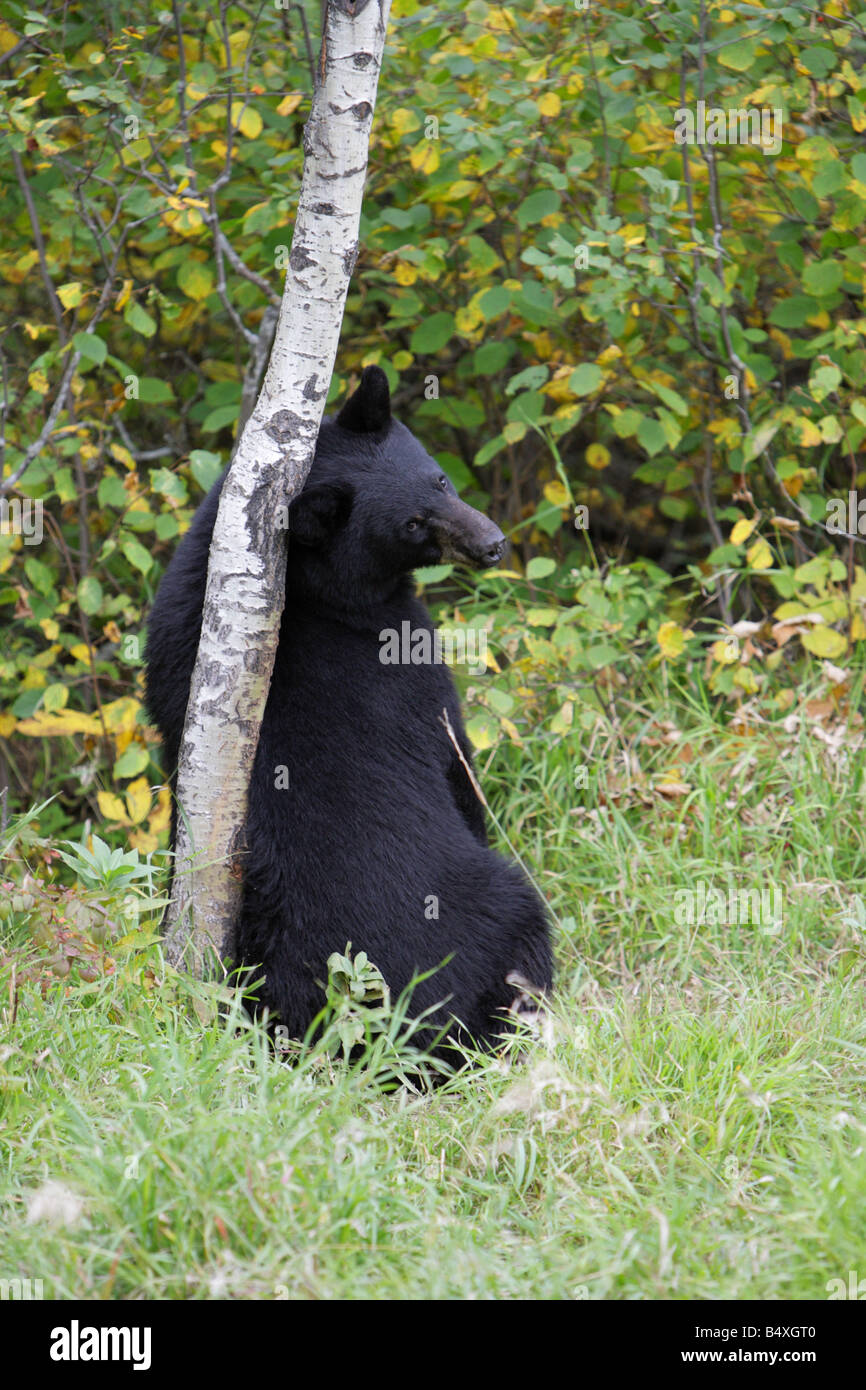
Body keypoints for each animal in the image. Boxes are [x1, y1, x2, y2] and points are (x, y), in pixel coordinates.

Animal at [145, 365, 553, 1061]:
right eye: (412, 524)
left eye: (439, 479)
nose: (492, 544)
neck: (315, 589)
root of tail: (390, 1021)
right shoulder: (411, 659)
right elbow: (459, 766)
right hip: (502, 911)